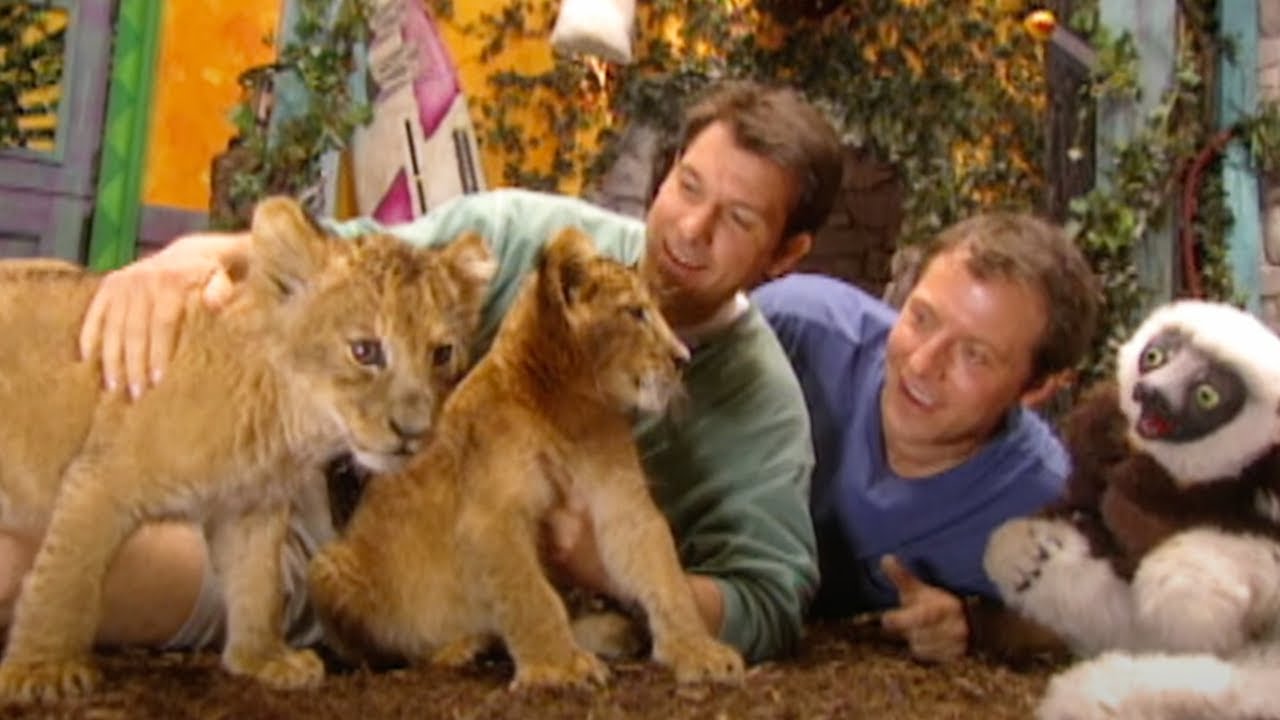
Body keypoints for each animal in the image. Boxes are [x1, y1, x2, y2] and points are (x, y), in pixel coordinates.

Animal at [0, 196, 495, 702]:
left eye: (441, 353)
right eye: (365, 351)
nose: (414, 432)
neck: (285, 421)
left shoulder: (251, 508)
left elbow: (258, 584)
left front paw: (263, 660)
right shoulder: (102, 482)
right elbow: (67, 579)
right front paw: (42, 670)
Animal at [307, 226, 746, 688]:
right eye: (635, 313)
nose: (683, 358)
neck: (570, 410)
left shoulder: (624, 505)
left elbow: (666, 576)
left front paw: (699, 650)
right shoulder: (490, 515)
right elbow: (530, 594)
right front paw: (559, 666)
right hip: (326, 569)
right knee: (391, 652)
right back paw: (459, 648)